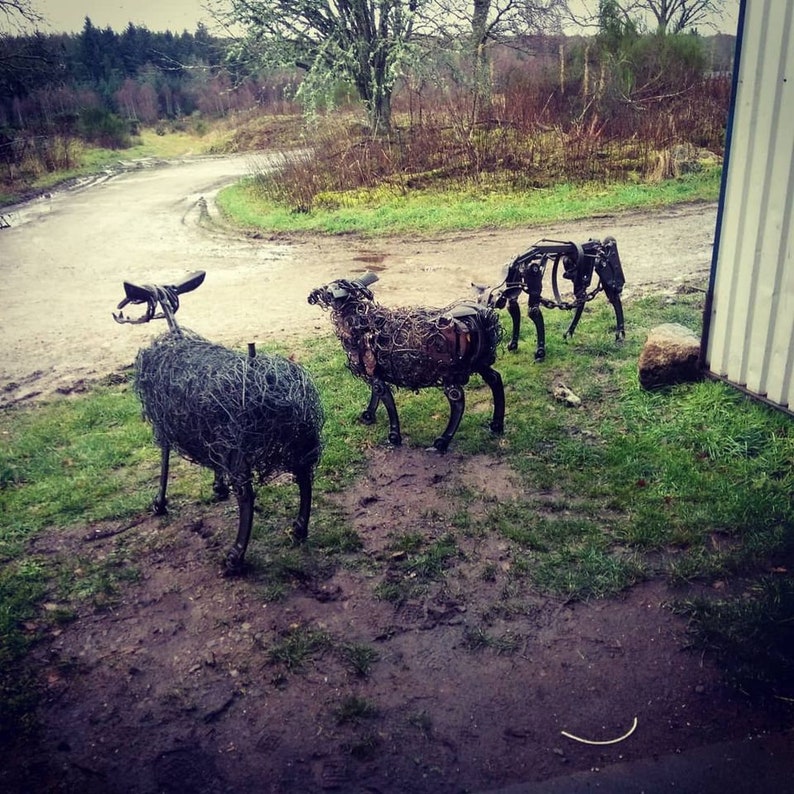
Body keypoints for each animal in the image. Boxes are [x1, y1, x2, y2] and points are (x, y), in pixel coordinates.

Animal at [114, 270, 324, 574]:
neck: (175, 336)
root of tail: (279, 391)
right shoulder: (208, 434)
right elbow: (212, 463)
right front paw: (218, 487)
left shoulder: (165, 426)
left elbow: (164, 462)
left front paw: (159, 503)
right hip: (301, 441)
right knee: (305, 477)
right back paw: (298, 529)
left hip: (243, 452)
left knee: (248, 496)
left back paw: (235, 556)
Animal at [308, 272, 504, 452]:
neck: (359, 321)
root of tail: (481, 316)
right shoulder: (375, 373)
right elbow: (374, 396)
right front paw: (368, 416)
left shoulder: (378, 380)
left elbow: (385, 400)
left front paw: (394, 436)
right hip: (480, 363)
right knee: (495, 379)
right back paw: (497, 425)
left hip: (449, 373)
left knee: (458, 401)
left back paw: (442, 442)